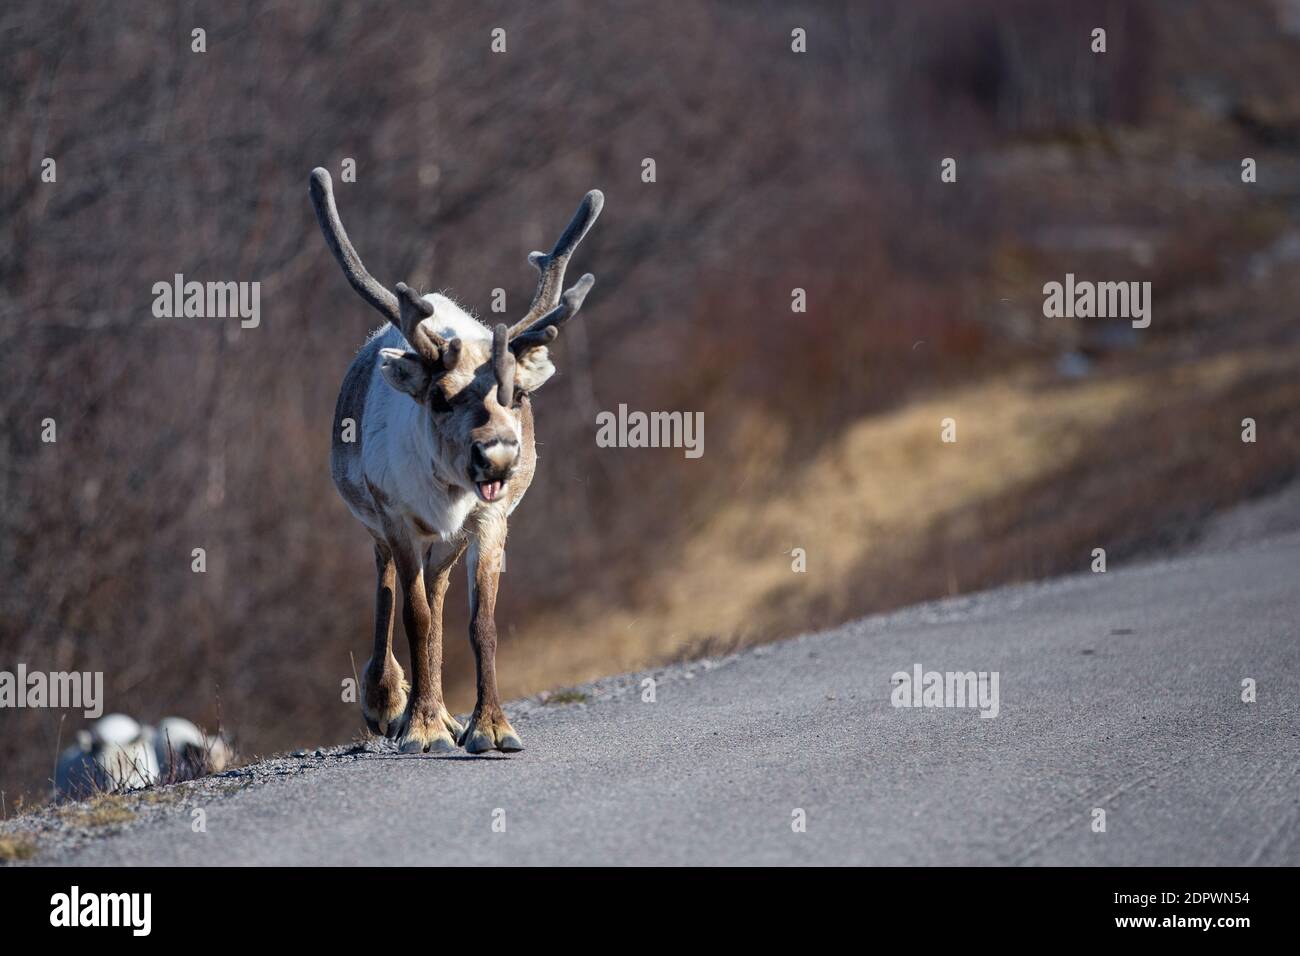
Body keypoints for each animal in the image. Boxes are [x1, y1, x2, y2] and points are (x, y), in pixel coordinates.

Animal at [308, 167, 603, 754]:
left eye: (517, 394)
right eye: (441, 397)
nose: (499, 454)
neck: (446, 489)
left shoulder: (490, 519)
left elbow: (480, 621)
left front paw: (489, 726)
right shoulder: (398, 518)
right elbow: (415, 615)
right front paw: (419, 726)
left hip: (449, 541)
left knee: (439, 590)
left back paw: (443, 712)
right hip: (377, 520)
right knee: (389, 583)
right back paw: (388, 701)